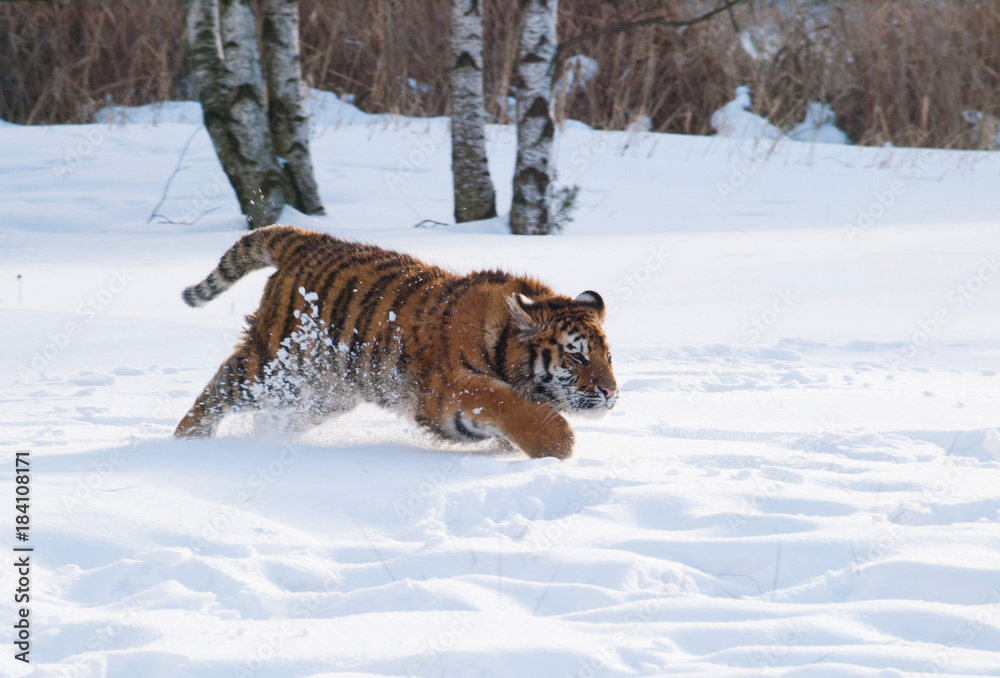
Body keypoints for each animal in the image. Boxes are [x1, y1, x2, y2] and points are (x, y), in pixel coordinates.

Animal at [174, 225, 617, 459]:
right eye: (576, 356)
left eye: (607, 357)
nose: (611, 393)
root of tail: (306, 238)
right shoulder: (449, 391)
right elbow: (507, 402)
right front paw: (558, 445)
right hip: (274, 364)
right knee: (217, 389)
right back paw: (183, 446)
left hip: (323, 391)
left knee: (271, 418)